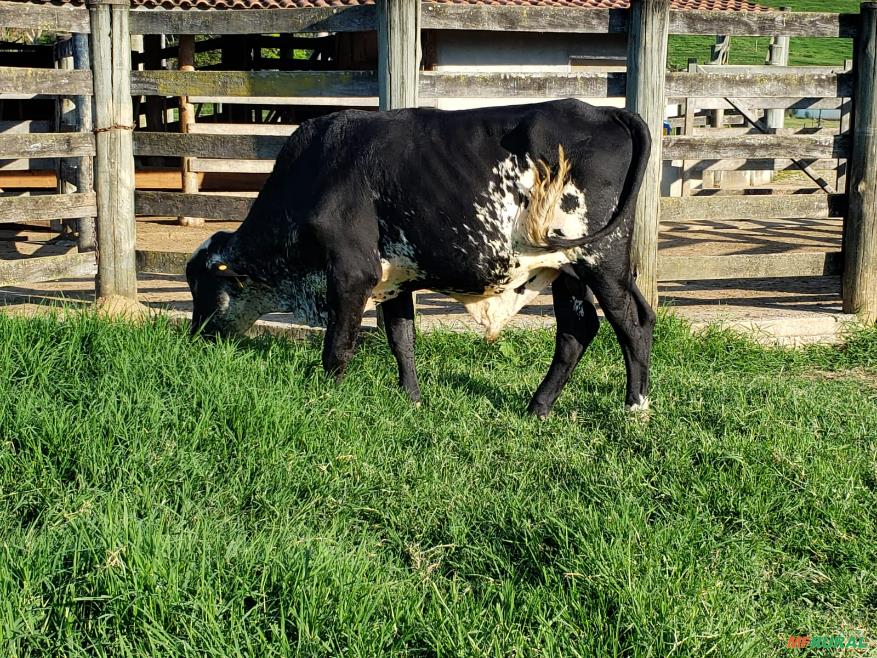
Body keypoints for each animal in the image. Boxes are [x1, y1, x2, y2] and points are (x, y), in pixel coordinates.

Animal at [187, 98, 654, 417]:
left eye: (204, 288)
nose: (194, 338)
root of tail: (603, 111)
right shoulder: (394, 278)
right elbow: (402, 341)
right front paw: (411, 398)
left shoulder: (351, 274)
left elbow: (338, 345)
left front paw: (327, 396)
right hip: (569, 270)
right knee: (581, 329)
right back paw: (538, 406)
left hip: (602, 260)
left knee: (628, 324)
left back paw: (636, 405)